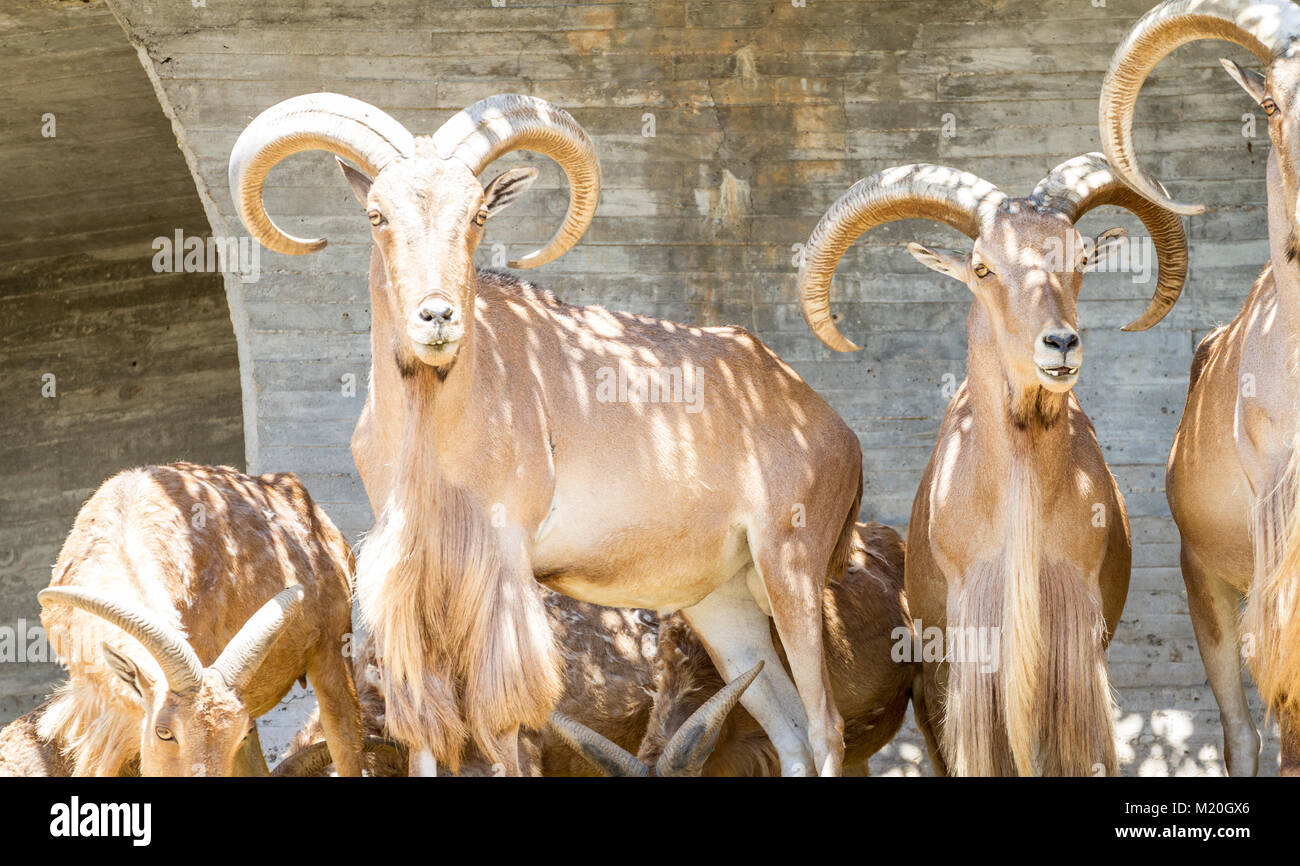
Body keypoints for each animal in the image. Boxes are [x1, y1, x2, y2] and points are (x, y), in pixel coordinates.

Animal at [229, 93, 863, 775]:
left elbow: (504, 723)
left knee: (825, 726)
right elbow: (425, 729)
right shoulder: (413, 585)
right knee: (790, 733)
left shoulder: (504, 568)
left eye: (478, 213)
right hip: (723, 604)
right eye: (377, 214)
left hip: (791, 565)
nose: (436, 316)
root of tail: (832, 426)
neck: (436, 433)